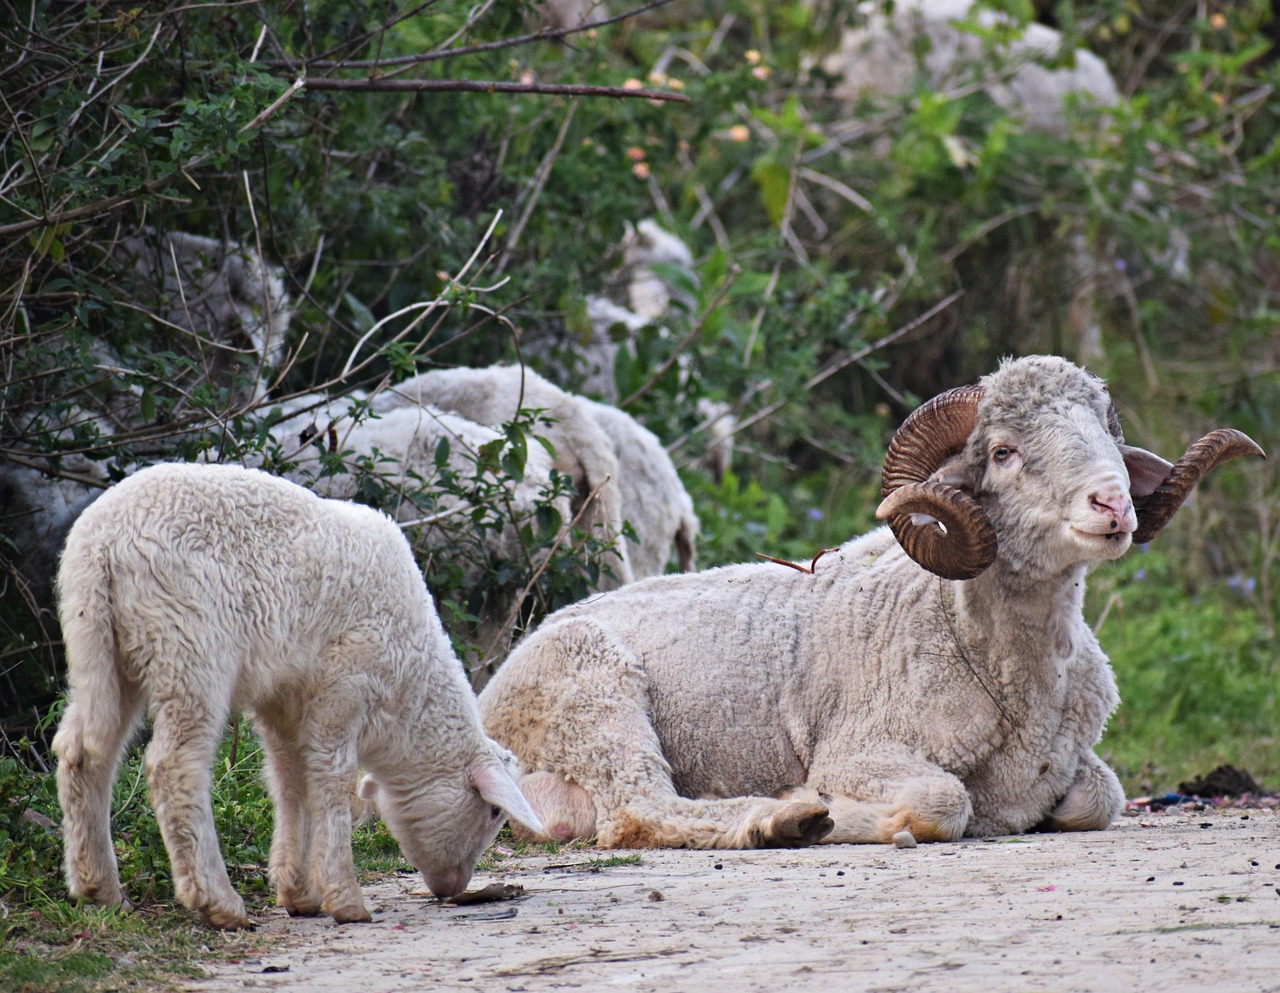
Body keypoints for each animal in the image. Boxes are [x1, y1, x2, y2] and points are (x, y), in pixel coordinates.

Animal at [51, 462, 543, 929]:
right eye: (494, 813)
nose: (453, 888)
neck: (411, 693)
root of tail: (101, 541)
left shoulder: (285, 699)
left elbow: (293, 781)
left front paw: (299, 893)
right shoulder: (344, 684)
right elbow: (332, 780)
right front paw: (345, 898)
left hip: (106, 648)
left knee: (83, 753)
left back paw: (99, 889)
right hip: (188, 641)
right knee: (174, 765)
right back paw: (217, 901)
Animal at [477, 355, 1264, 849]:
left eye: (1105, 431)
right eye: (1003, 452)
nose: (1113, 504)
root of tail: (494, 685)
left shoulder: (1082, 763)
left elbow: (1099, 797)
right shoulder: (859, 750)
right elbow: (946, 803)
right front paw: (853, 813)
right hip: (595, 699)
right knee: (638, 812)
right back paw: (784, 821)